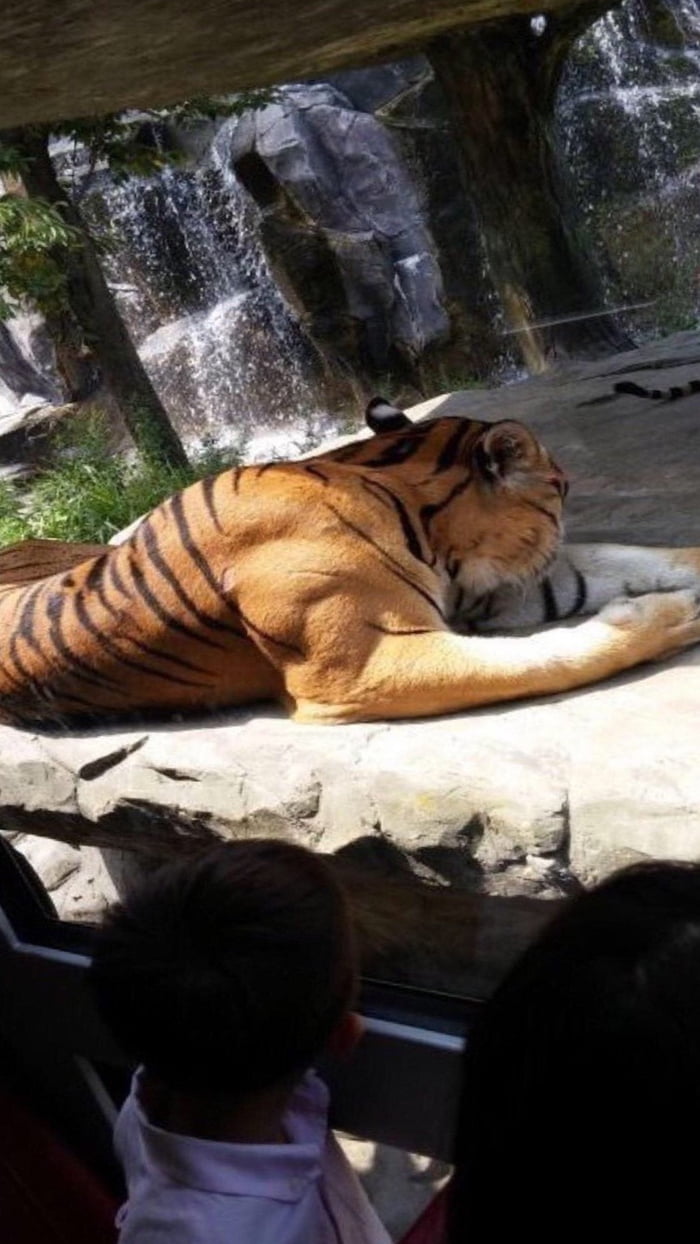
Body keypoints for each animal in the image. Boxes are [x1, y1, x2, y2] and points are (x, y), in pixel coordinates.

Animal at [1, 394, 700, 730]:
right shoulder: (367, 662)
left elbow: (621, 558)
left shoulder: (495, 592)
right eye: (562, 488)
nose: (565, 497)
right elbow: (549, 657)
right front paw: (668, 617)